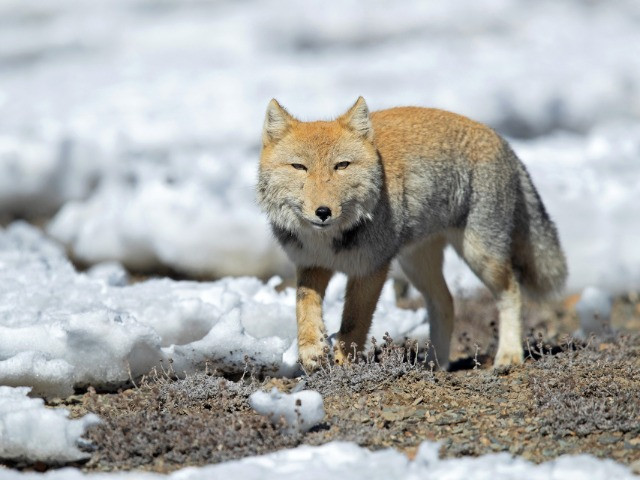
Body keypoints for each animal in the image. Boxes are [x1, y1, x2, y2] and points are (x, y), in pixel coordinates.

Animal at [257, 97, 567, 371]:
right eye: (299, 167)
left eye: (341, 165)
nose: (323, 212)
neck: (329, 240)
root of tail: (502, 140)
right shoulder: (311, 265)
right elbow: (304, 312)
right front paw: (312, 352)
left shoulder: (371, 269)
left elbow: (353, 326)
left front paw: (344, 367)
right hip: (417, 266)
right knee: (446, 303)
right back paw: (434, 366)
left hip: (481, 258)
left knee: (511, 292)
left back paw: (509, 355)